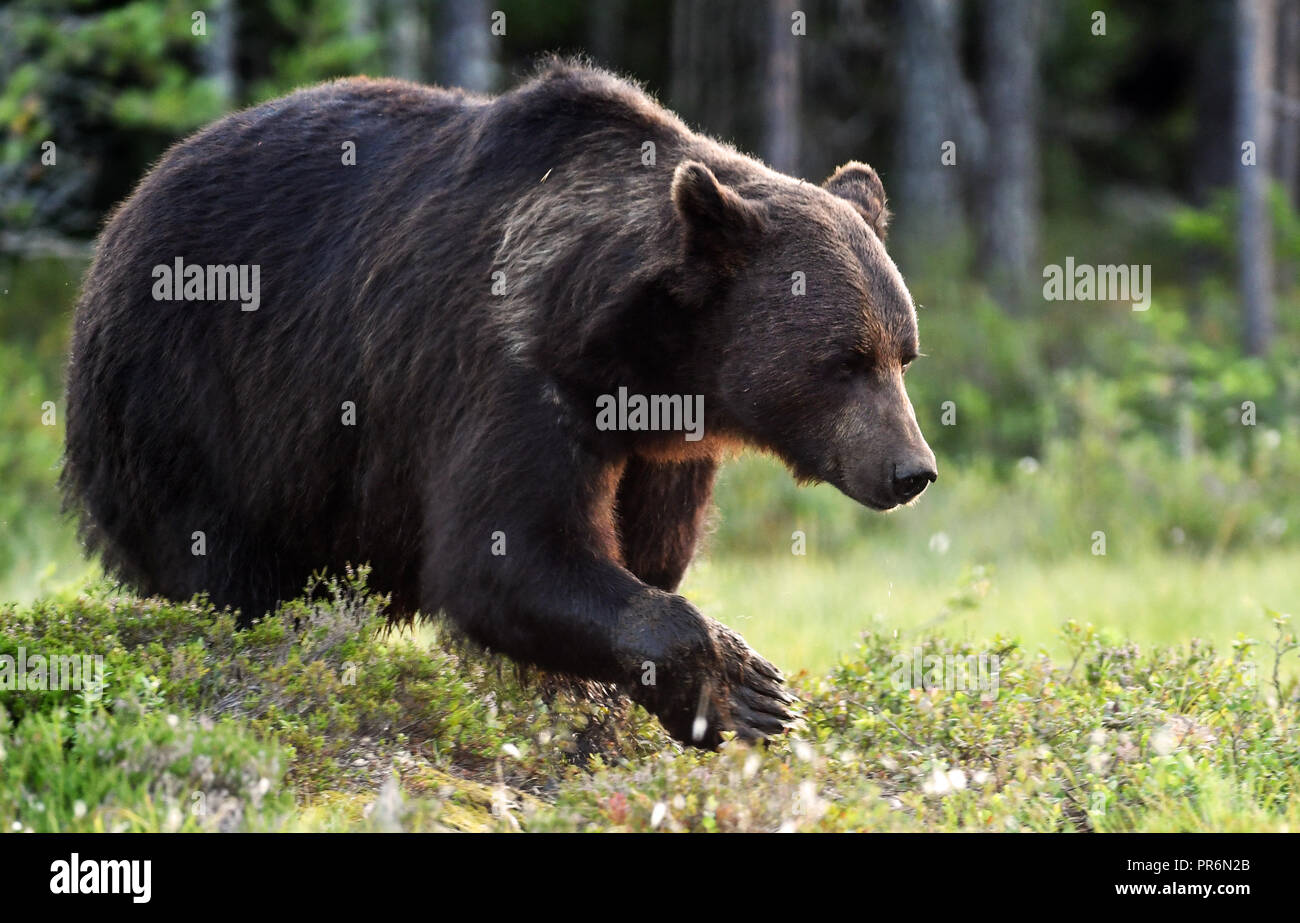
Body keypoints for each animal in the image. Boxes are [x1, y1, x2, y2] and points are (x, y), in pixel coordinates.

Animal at [62, 61, 936, 748]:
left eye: (904, 353)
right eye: (845, 360)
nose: (911, 470)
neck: (636, 359)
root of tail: (118, 222)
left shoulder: (662, 448)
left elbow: (646, 550)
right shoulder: (505, 374)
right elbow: (508, 554)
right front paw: (745, 687)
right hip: (189, 402)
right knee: (223, 566)